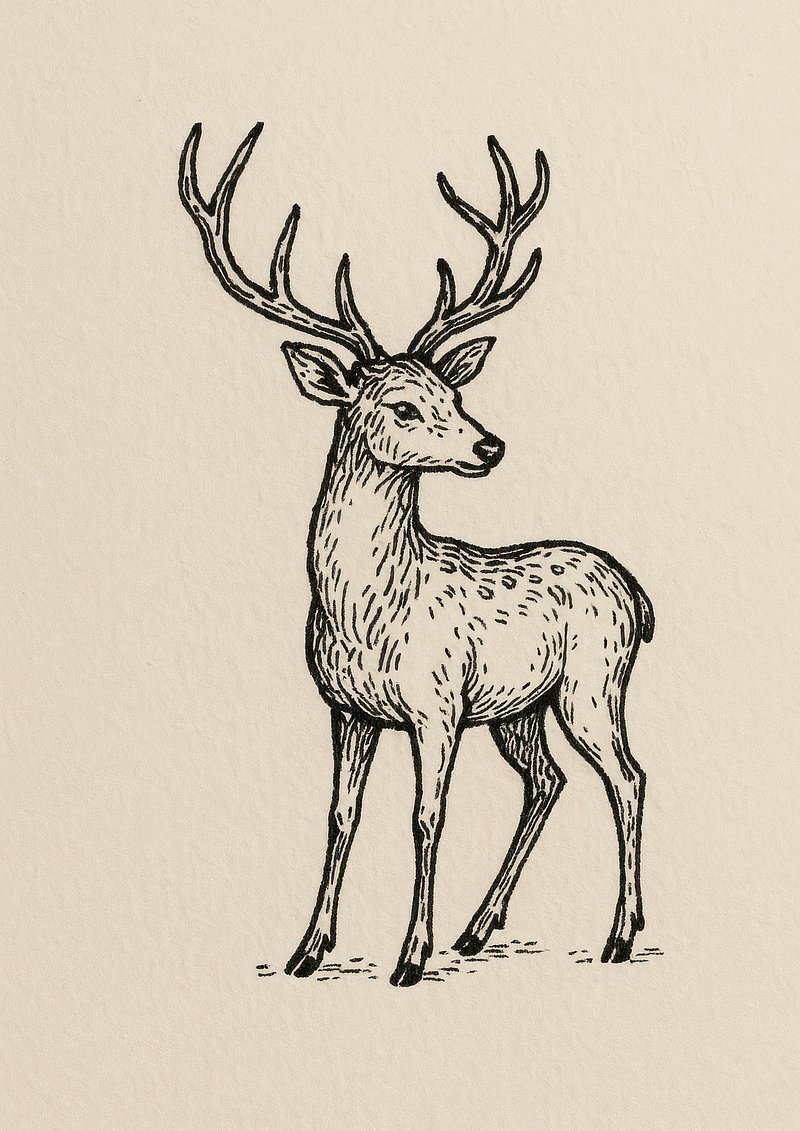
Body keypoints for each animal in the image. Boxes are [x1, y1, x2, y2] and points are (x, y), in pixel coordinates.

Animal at [178, 123, 655, 987]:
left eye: (454, 394)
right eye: (402, 405)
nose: (489, 444)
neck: (368, 610)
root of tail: (637, 596)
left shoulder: (436, 705)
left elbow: (426, 815)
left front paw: (407, 956)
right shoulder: (348, 708)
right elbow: (342, 813)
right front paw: (307, 949)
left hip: (593, 681)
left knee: (628, 776)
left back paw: (618, 934)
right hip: (520, 708)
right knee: (550, 779)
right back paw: (480, 927)